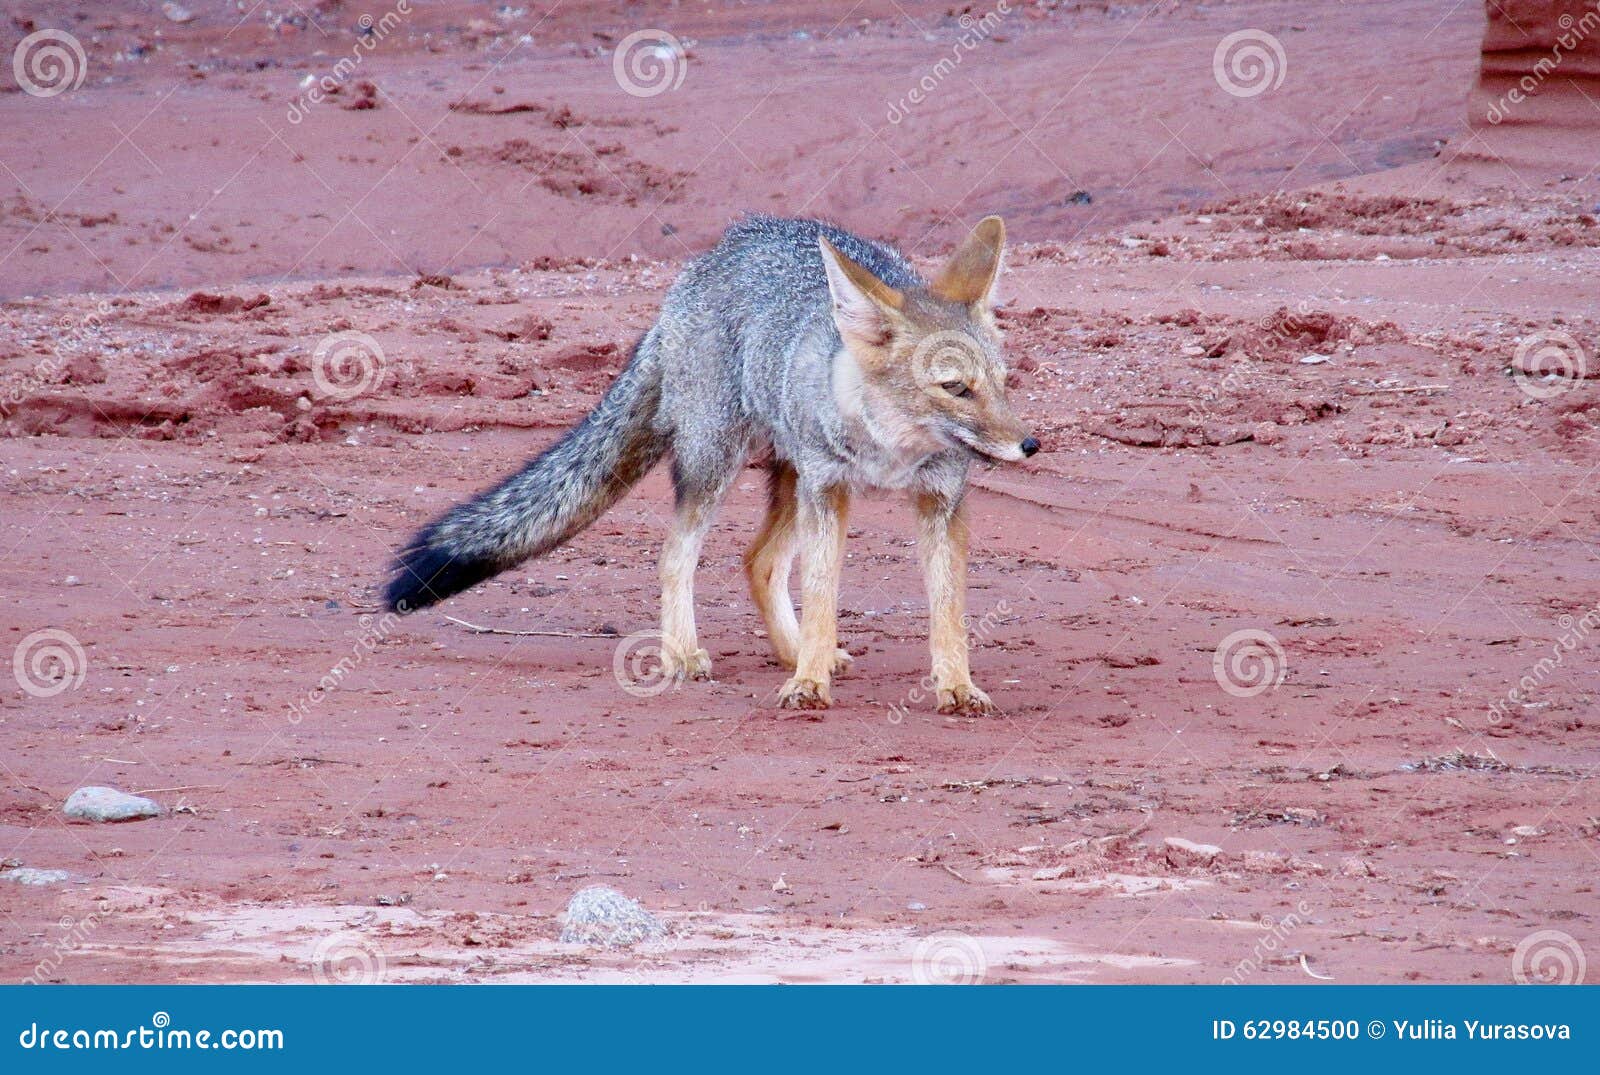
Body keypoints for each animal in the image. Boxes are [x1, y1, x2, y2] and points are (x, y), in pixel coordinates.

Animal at [384, 214, 1038, 713]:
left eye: (1004, 383)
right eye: (955, 388)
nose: (1030, 445)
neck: (890, 453)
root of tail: (710, 260)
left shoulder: (940, 501)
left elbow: (947, 609)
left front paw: (956, 687)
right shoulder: (829, 491)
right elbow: (822, 592)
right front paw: (808, 684)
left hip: (786, 479)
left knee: (759, 561)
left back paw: (793, 651)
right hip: (717, 465)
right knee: (677, 554)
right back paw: (687, 652)